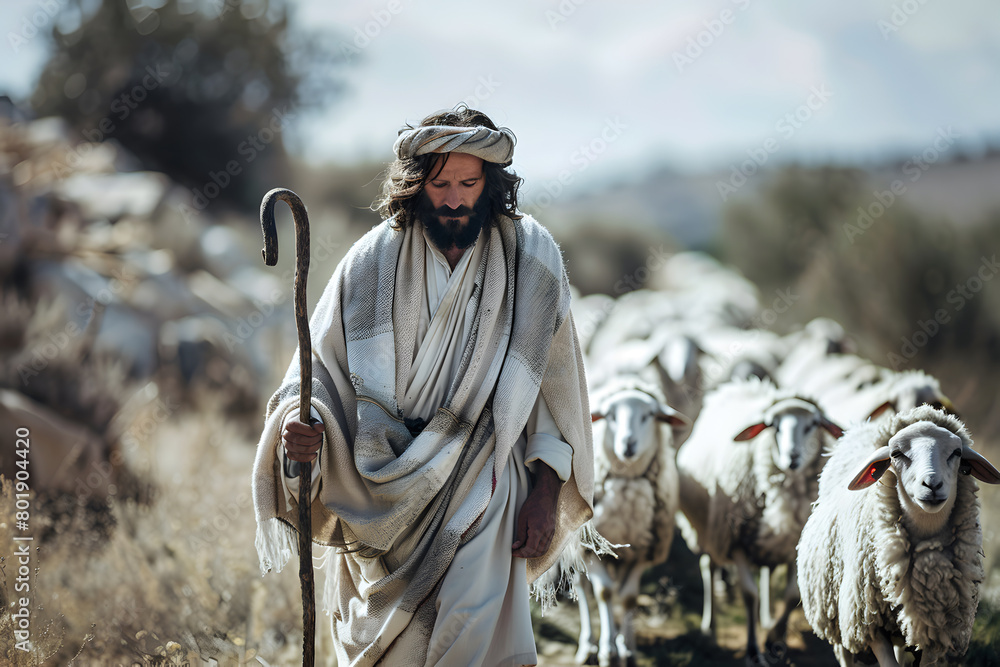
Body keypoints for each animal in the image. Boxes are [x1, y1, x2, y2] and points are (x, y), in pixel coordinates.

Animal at [576, 376, 691, 667]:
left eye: (649, 415)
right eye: (610, 416)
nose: (628, 445)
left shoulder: (643, 551)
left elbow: (627, 598)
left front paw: (625, 648)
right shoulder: (592, 549)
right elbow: (604, 593)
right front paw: (607, 650)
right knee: (582, 587)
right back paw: (588, 644)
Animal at [675, 377, 843, 664]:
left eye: (812, 425)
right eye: (773, 426)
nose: (792, 458)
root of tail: (738, 386)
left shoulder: (794, 545)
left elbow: (791, 595)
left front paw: (775, 637)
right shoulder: (736, 541)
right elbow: (749, 595)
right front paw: (754, 650)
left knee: (767, 571)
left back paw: (767, 619)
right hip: (708, 531)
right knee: (709, 567)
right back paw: (709, 630)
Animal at [797, 406, 1000, 666]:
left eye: (956, 452)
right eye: (896, 453)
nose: (932, 484)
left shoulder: (936, 627)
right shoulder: (869, 623)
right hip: (837, 617)